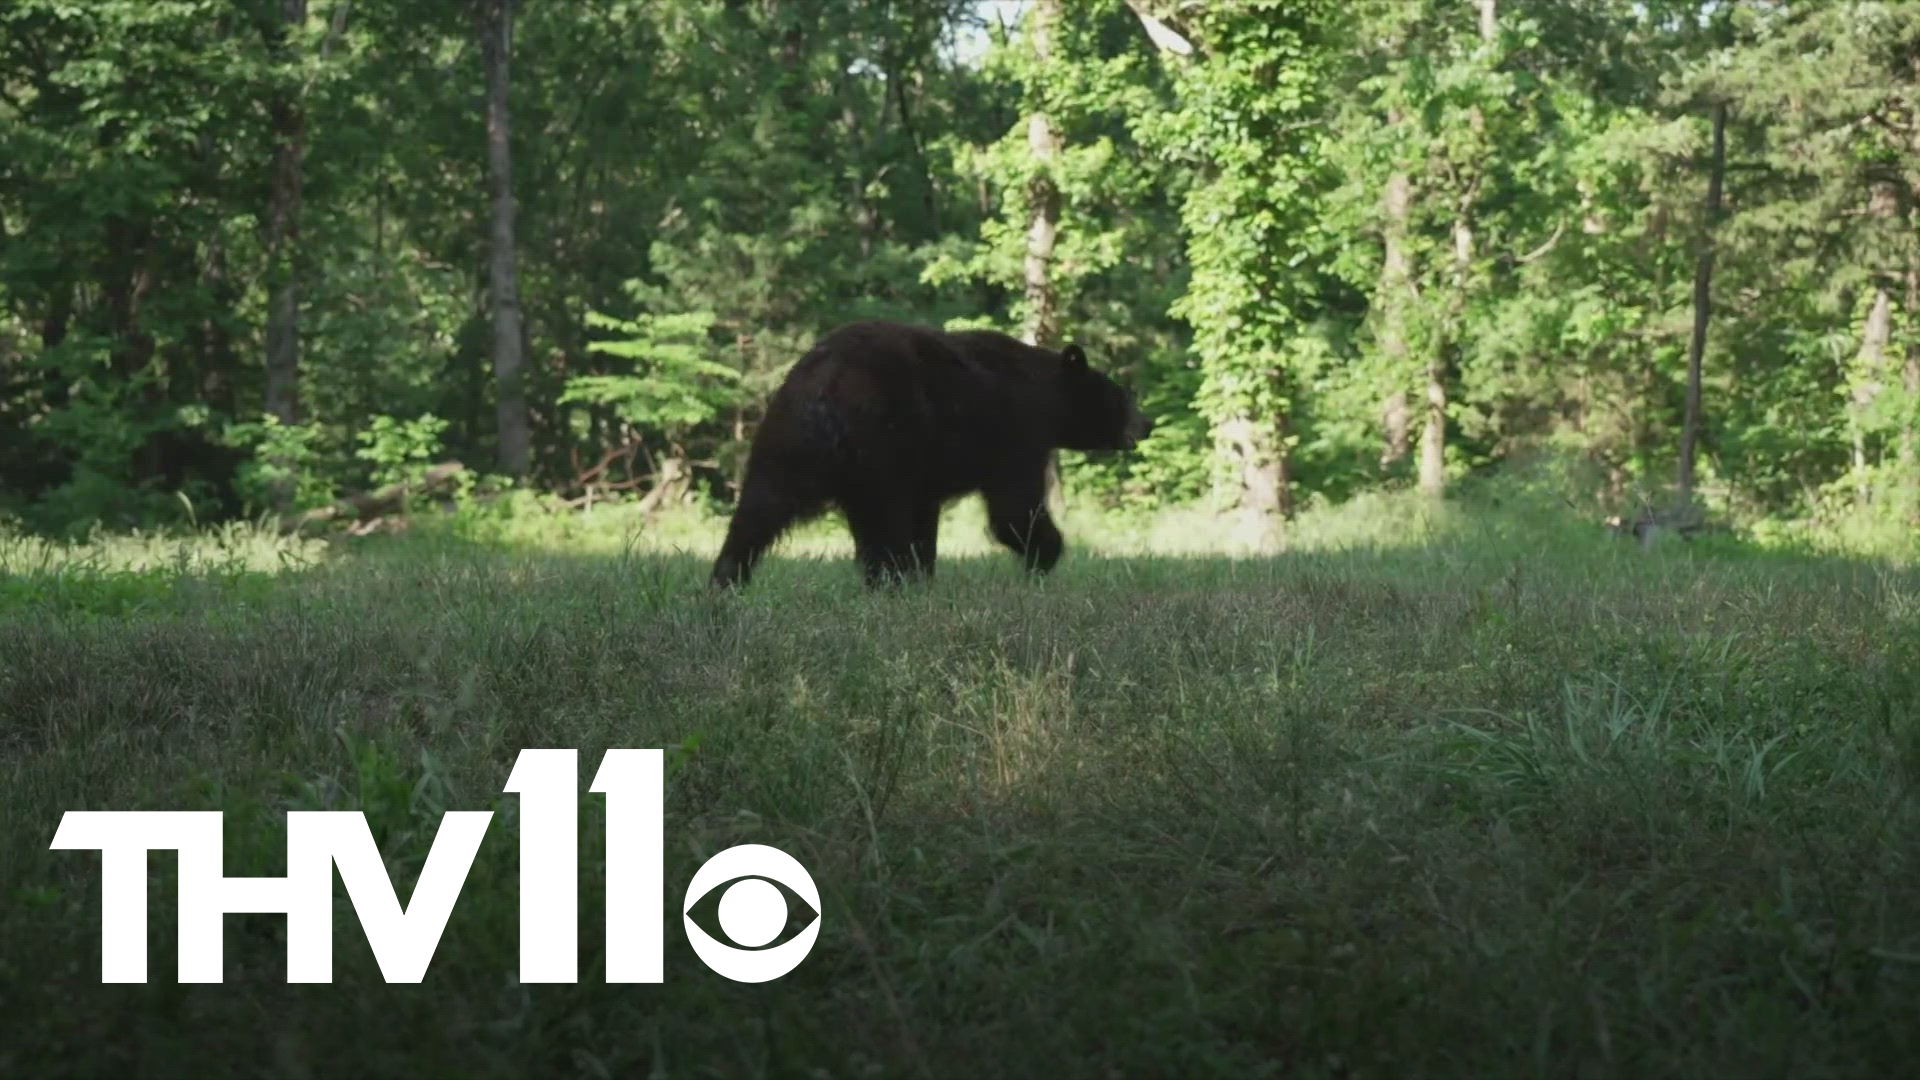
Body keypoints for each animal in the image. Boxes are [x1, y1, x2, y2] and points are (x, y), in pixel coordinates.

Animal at [709, 320, 1152, 590]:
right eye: (1122, 396)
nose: (1146, 424)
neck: (1046, 397)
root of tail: (824, 388)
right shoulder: (1014, 436)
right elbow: (1013, 509)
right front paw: (1044, 555)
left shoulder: (929, 472)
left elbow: (927, 519)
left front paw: (924, 574)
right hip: (882, 442)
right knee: (884, 519)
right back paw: (889, 579)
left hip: (785, 443)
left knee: (757, 510)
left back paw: (726, 579)